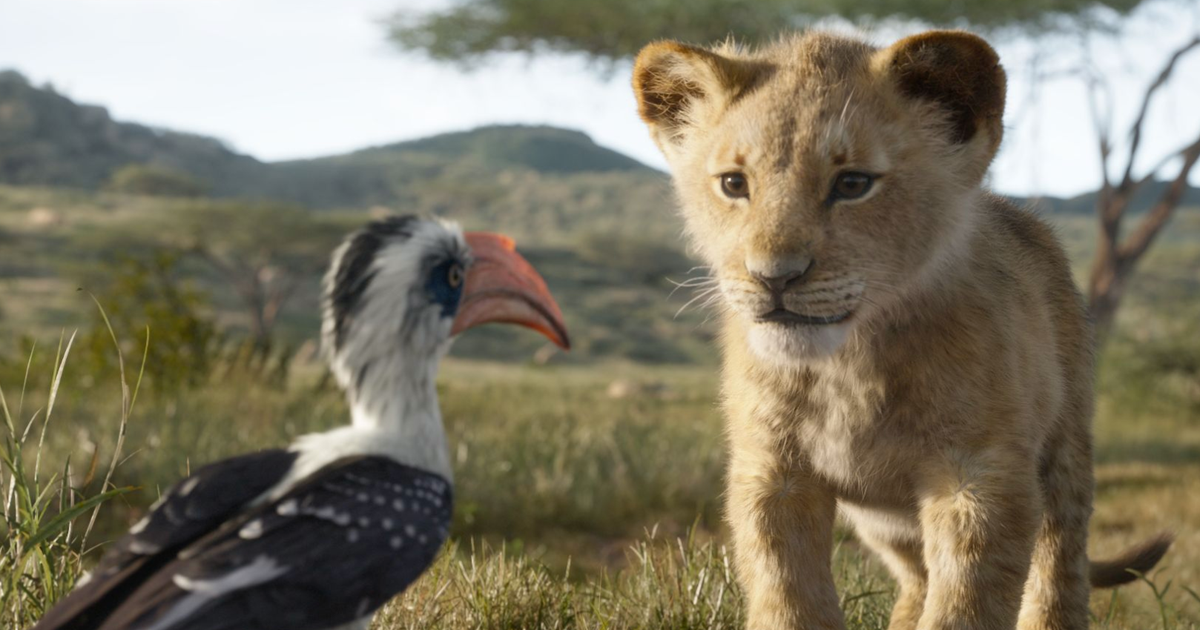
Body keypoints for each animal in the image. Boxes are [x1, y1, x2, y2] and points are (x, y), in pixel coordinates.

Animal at [631, 30, 1171, 630]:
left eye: (852, 184)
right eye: (733, 183)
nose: (774, 277)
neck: (847, 366)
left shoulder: (979, 476)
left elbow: (965, 605)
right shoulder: (771, 472)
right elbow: (787, 594)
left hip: (1064, 451)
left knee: (1060, 566)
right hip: (883, 520)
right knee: (917, 578)